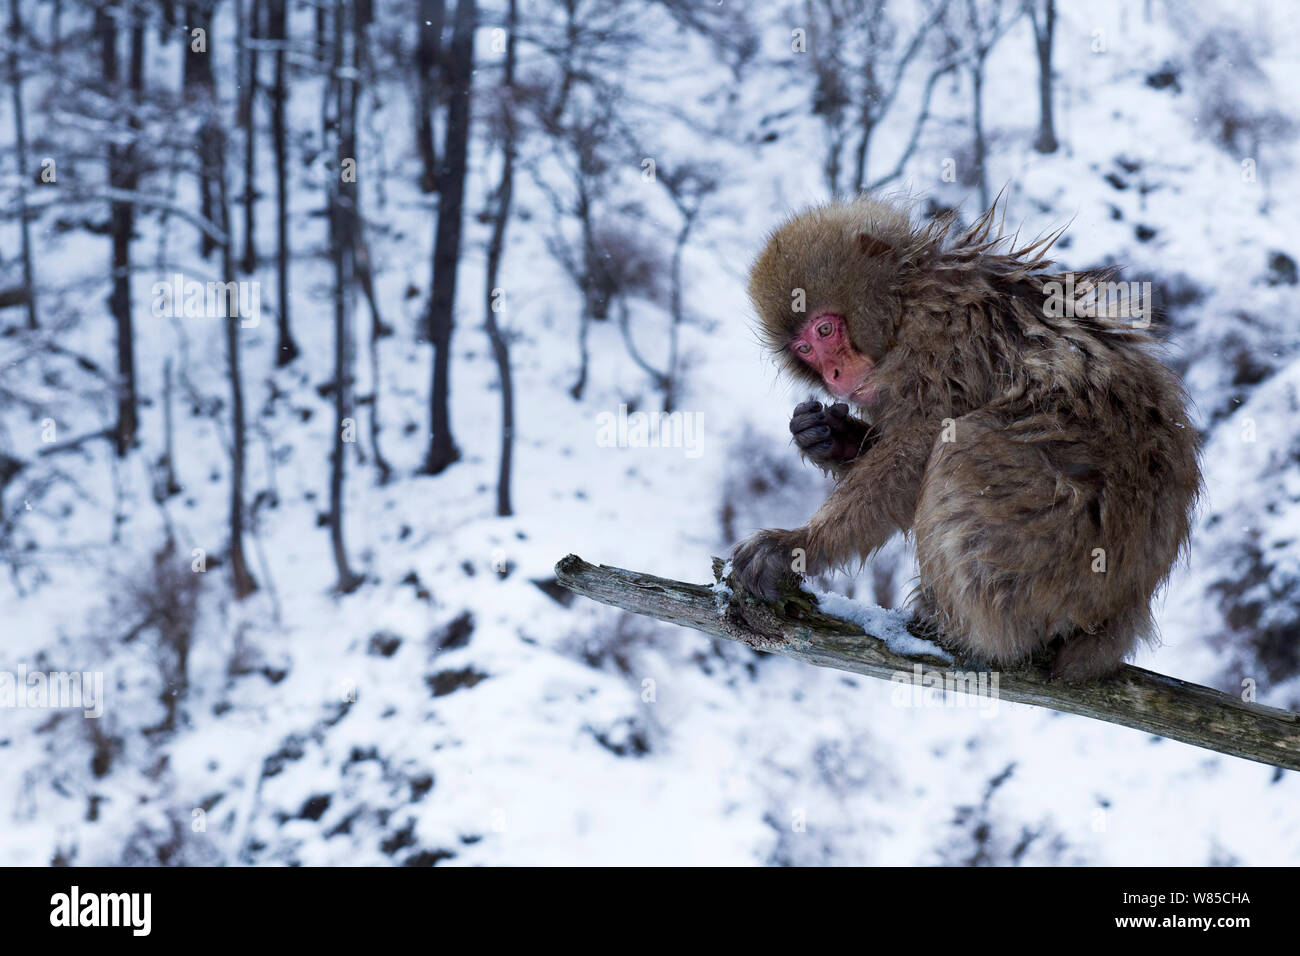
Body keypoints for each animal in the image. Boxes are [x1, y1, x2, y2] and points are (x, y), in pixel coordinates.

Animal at [730, 196, 1202, 681]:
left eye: (825, 329)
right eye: (805, 349)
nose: (835, 375)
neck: (905, 298)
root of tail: (1124, 610)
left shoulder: (939, 342)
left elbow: (916, 448)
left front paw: (799, 545)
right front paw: (826, 436)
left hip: (1053, 555)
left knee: (962, 445)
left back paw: (960, 628)